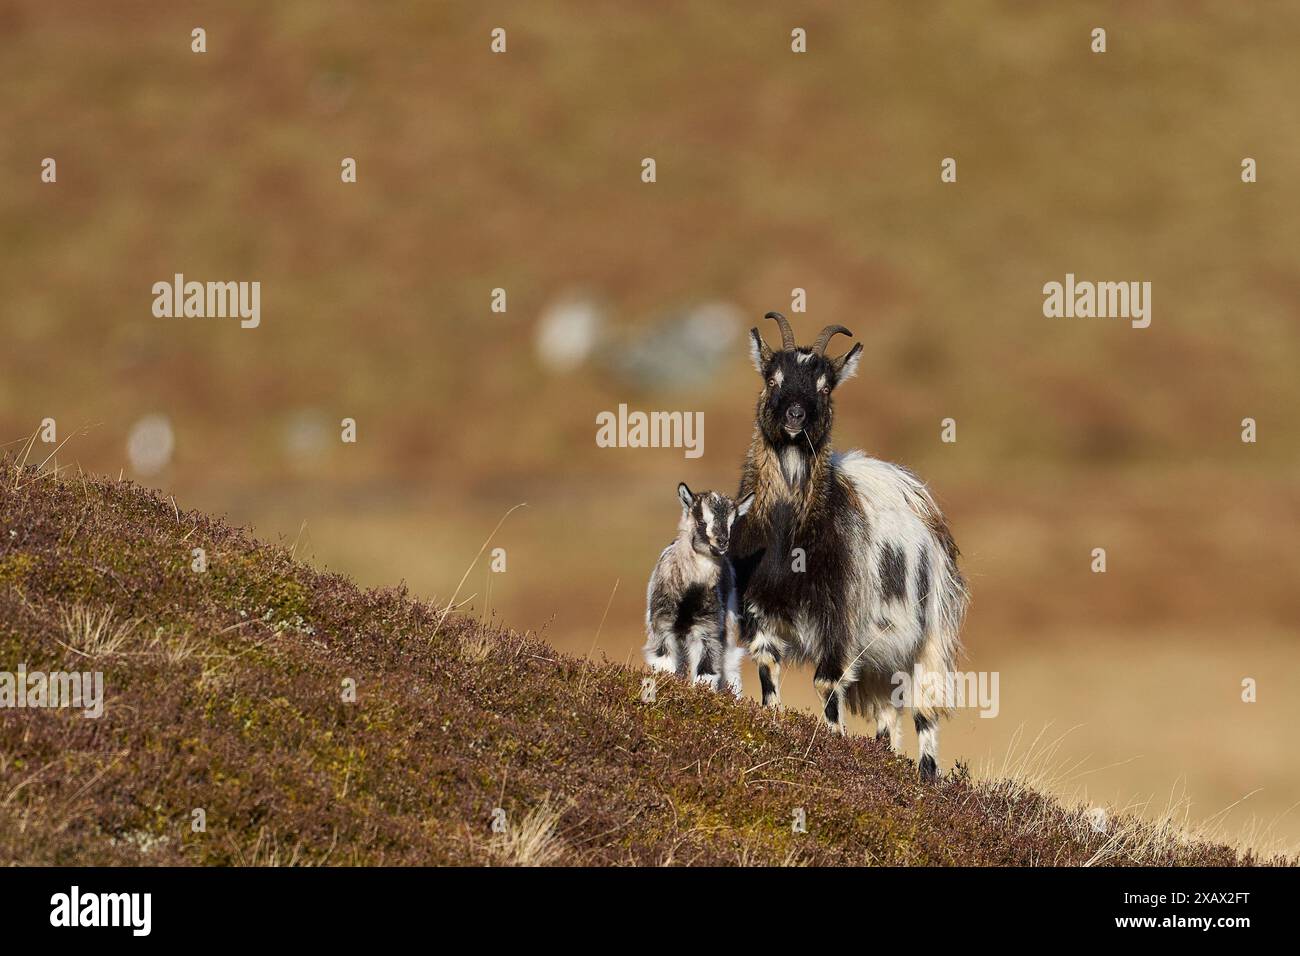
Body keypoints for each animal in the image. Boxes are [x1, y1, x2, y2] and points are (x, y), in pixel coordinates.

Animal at [645, 483, 754, 694]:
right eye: (702, 521)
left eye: (732, 523)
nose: (722, 542)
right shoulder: (663, 626)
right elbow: (664, 666)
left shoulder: (707, 630)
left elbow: (706, 671)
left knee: (730, 664)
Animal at [731, 312, 968, 780]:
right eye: (772, 378)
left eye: (826, 386)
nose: (795, 415)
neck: (790, 539)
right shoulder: (759, 609)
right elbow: (767, 669)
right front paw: (771, 723)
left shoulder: (840, 619)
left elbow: (827, 683)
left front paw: (832, 744)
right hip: (881, 661)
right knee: (887, 715)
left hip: (931, 633)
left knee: (924, 711)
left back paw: (927, 778)